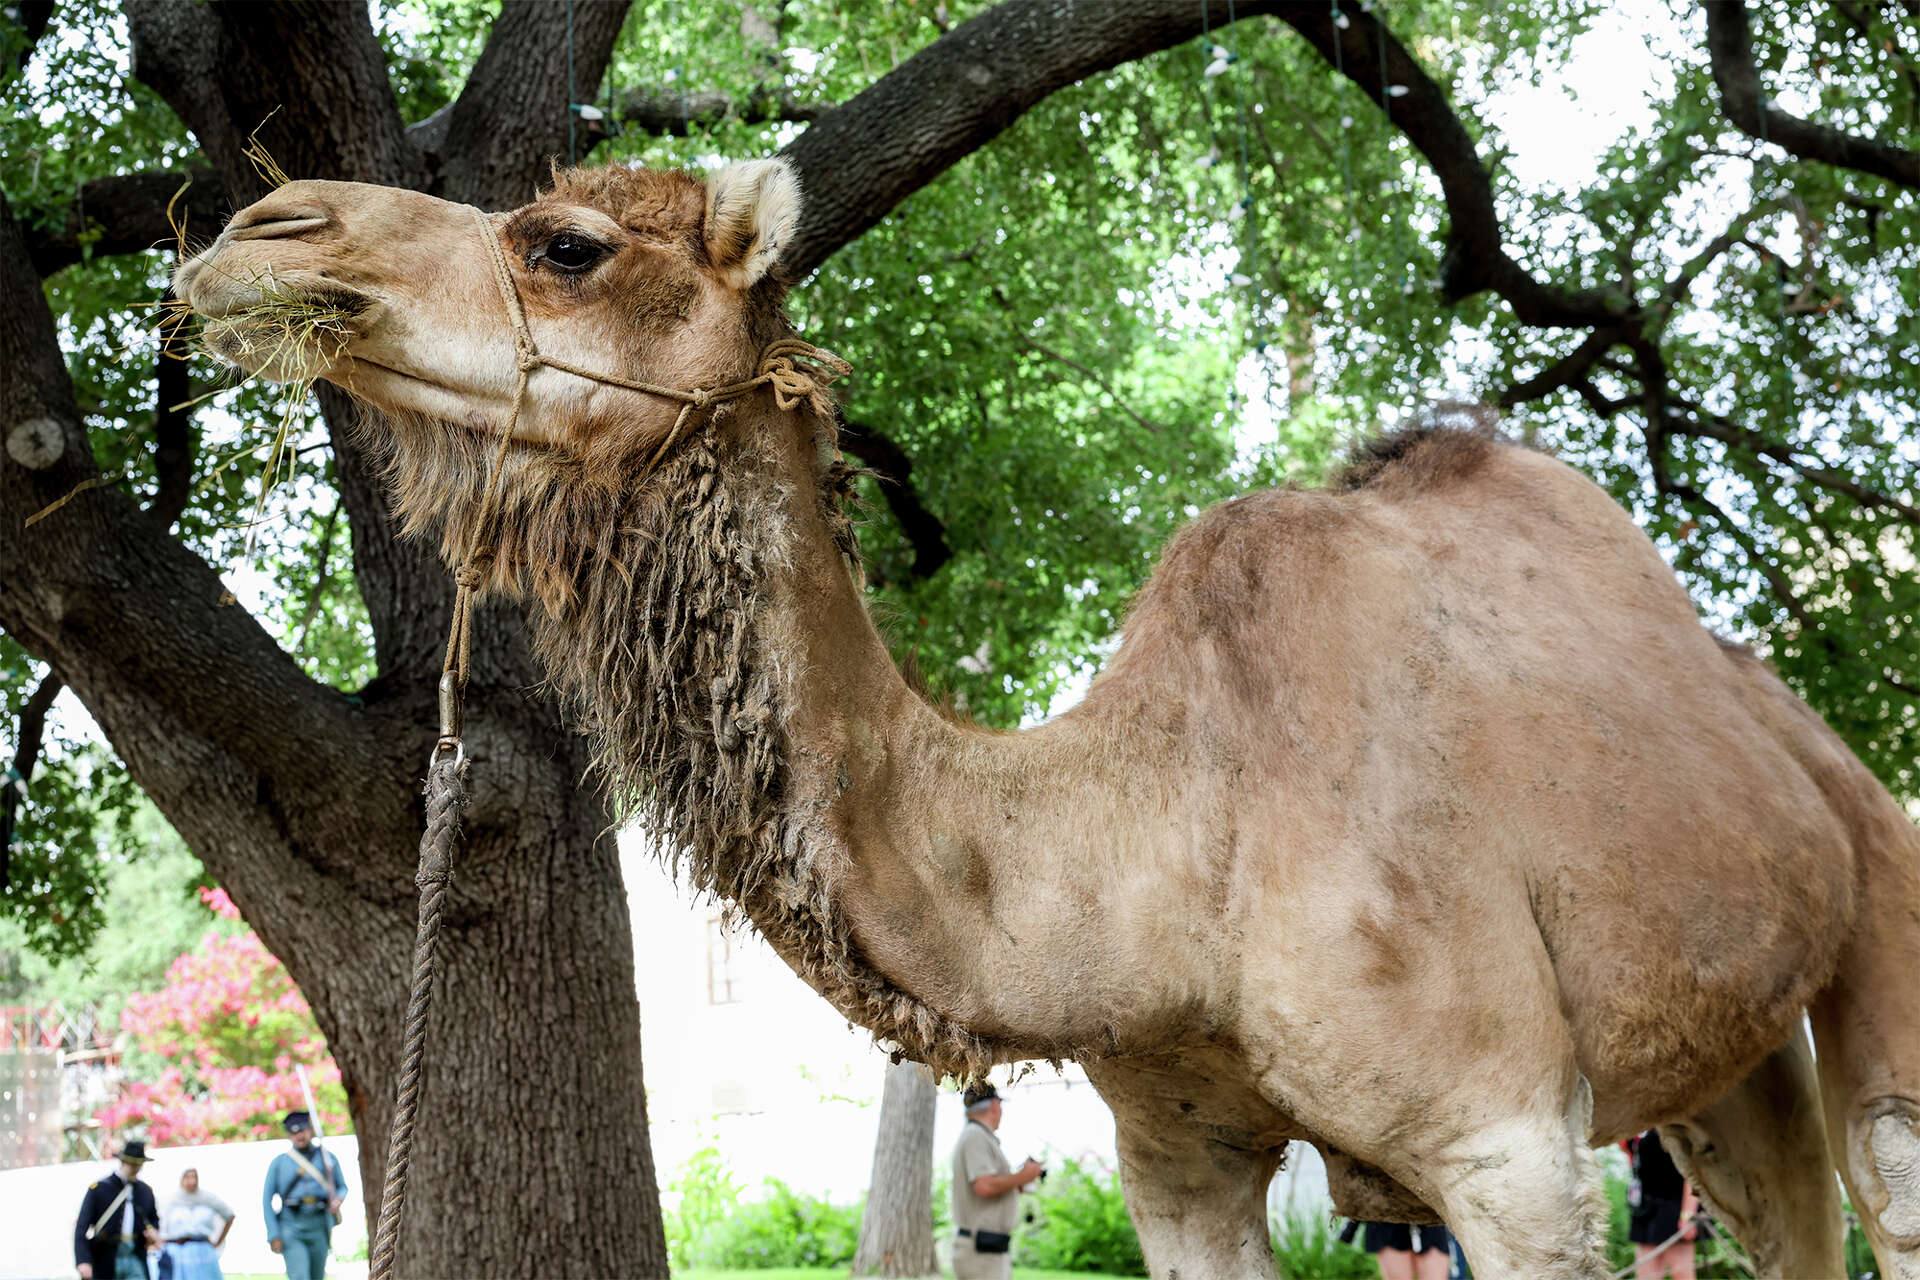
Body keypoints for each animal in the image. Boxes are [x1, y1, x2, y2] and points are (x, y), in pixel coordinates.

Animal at [174, 159, 1920, 1280]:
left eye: (570, 244)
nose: (254, 228)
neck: (1163, 840)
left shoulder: (1510, 1150)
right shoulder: (1179, 1158)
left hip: (1876, 868)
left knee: (1881, 1174)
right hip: (1712, 1035)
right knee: (1781, 1200)